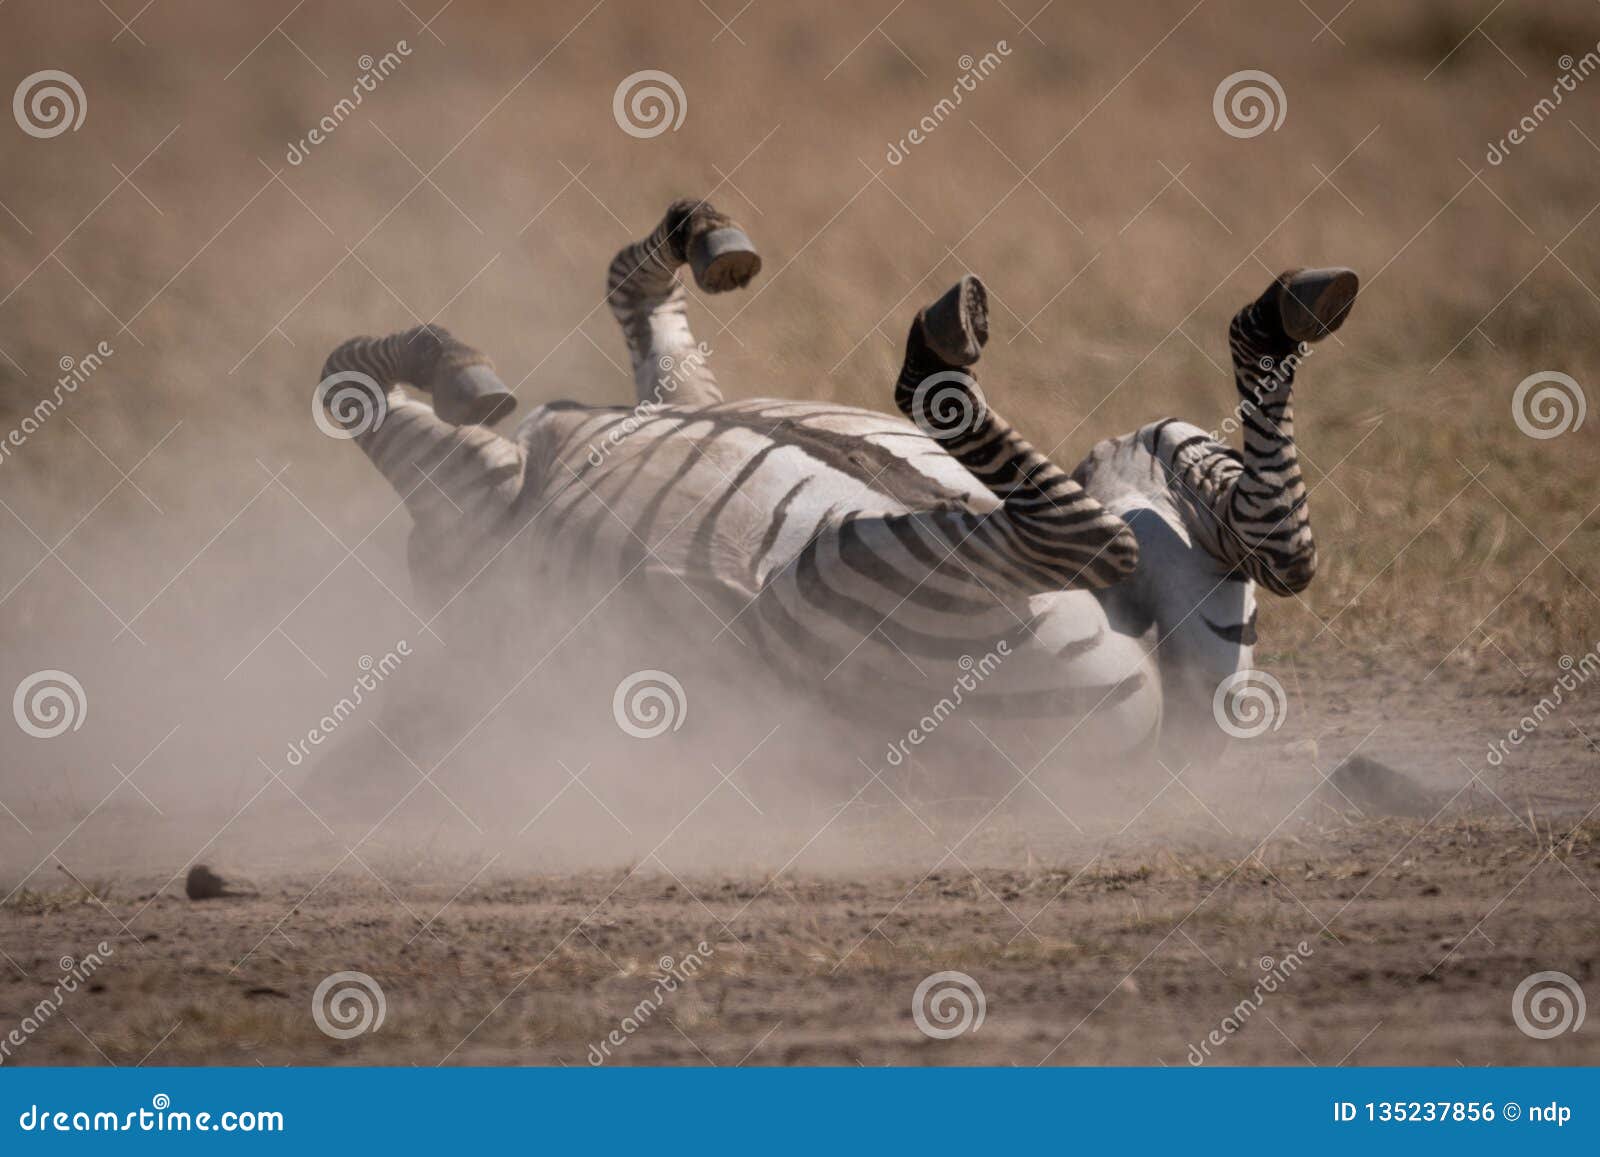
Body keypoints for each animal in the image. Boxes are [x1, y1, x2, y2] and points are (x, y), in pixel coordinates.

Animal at [317, 198, 1357, 768]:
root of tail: (1150, 764)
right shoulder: (468, 499)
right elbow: (340, 383)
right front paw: (453, 367)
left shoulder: (659, 401)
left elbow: (632, 297)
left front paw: (704, 236)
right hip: (848, 581)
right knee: (1093, 535)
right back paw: (938, 356)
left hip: (1131, 499)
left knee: (1266, 542)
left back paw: (1284, 315)